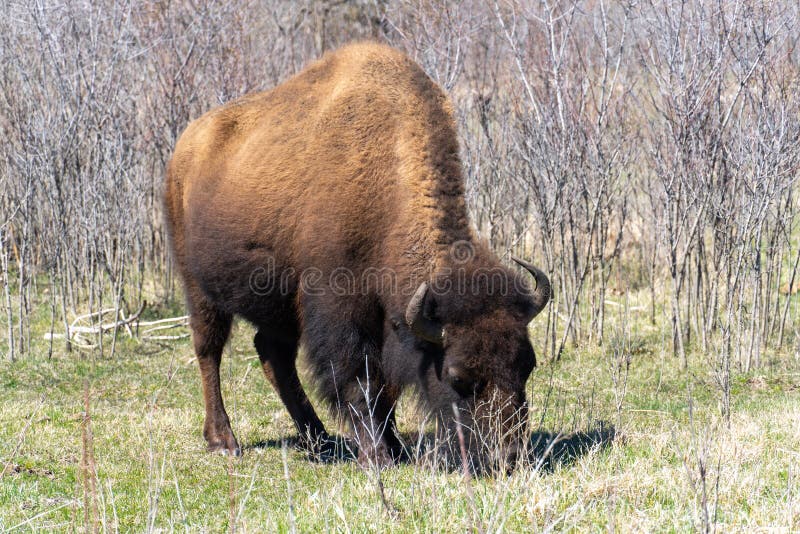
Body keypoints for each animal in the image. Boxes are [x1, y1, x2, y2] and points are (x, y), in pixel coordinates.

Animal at [164, 42, 549, 469]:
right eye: (457, 377)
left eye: (527, 366)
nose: (508, 457)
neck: (386, 183)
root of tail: (183, 150)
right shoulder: (341, 312)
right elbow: (360, 381)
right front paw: (377, 455)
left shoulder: (388, 323)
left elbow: (386, 385)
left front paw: (393, 446)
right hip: (198, 286)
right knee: (209, 350)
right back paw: (224, 441)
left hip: (279, 305)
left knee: (272, 353)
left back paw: (318, 439)